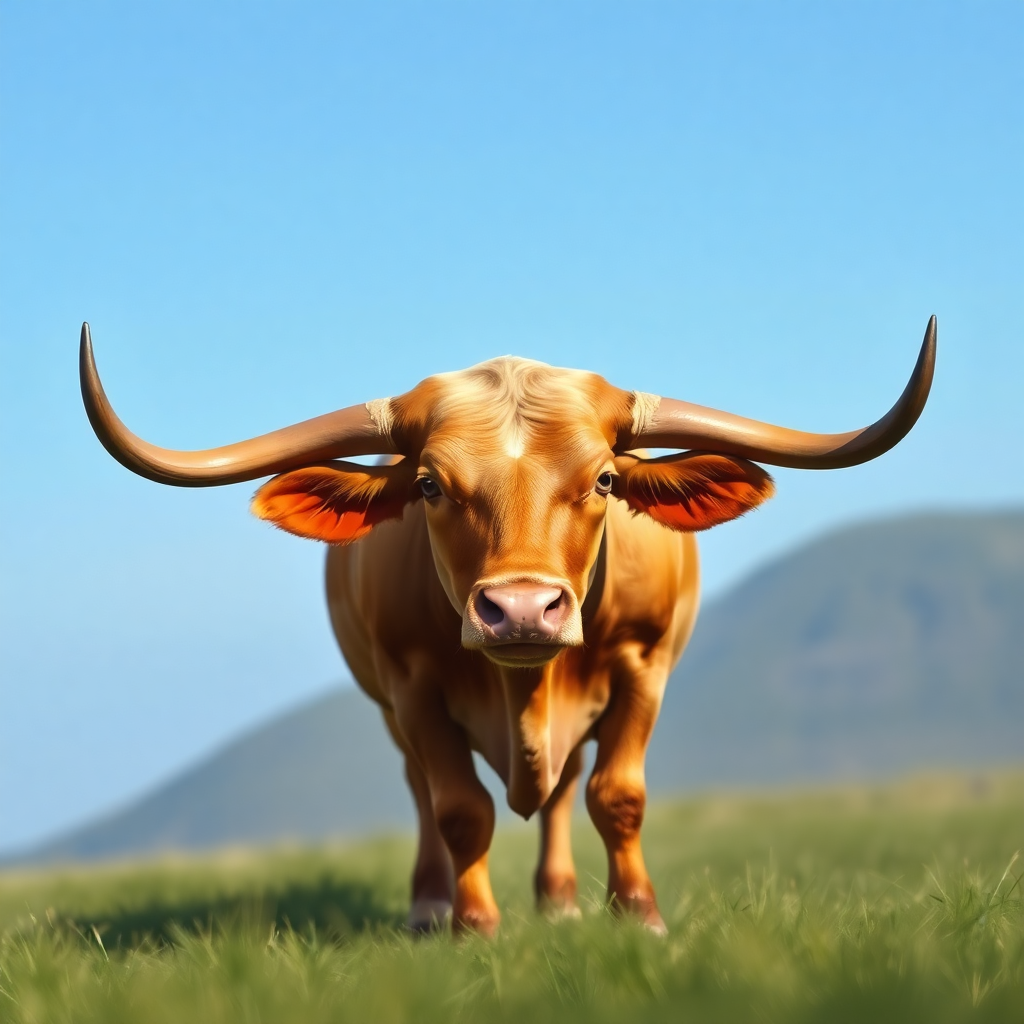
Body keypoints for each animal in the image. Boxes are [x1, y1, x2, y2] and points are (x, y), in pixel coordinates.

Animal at [80, 317, 935, 935]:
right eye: (429, 484)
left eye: (605, 479)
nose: (521, 609)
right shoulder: (412, 687)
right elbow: (461, 810)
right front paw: (474, 924)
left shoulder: (645, 667)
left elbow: (618, 795)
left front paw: (639, 915)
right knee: (424, 791)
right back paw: (431, 906)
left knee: (561, 790)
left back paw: (558, 901)